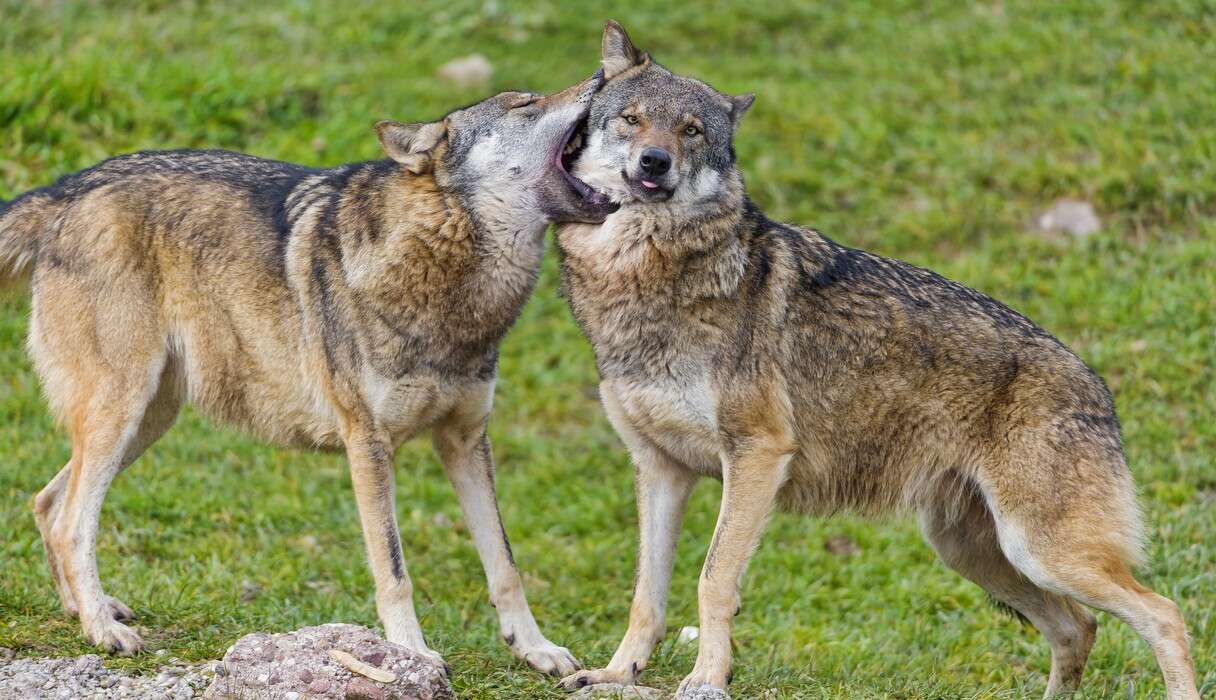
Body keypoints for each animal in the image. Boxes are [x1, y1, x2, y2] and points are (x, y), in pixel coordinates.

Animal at [0, 71, 616, 675]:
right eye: (524, 104)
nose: (601, 75)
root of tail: (67, 188)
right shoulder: (367, 443)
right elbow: (394, 568)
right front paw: (411, 653)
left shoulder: (465, 439)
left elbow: (505, 565)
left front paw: (536, 649)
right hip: (122, 413)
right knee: (73, 521)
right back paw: (103, 630)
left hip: (149, 420)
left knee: (47, 503)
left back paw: (90, 610)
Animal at [554, 22, 1199, 699]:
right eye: (632, 119)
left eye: (691, 131)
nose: (654, 162)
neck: (644, 279)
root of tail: (1100, 387)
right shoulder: (660, 469)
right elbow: (646, 594)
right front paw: (616, 672)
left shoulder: (756, 455)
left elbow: (714, 579)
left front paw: (707, 679)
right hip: (974, 552)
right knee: (1078, 628)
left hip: (1041, 552)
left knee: (1163, 613)